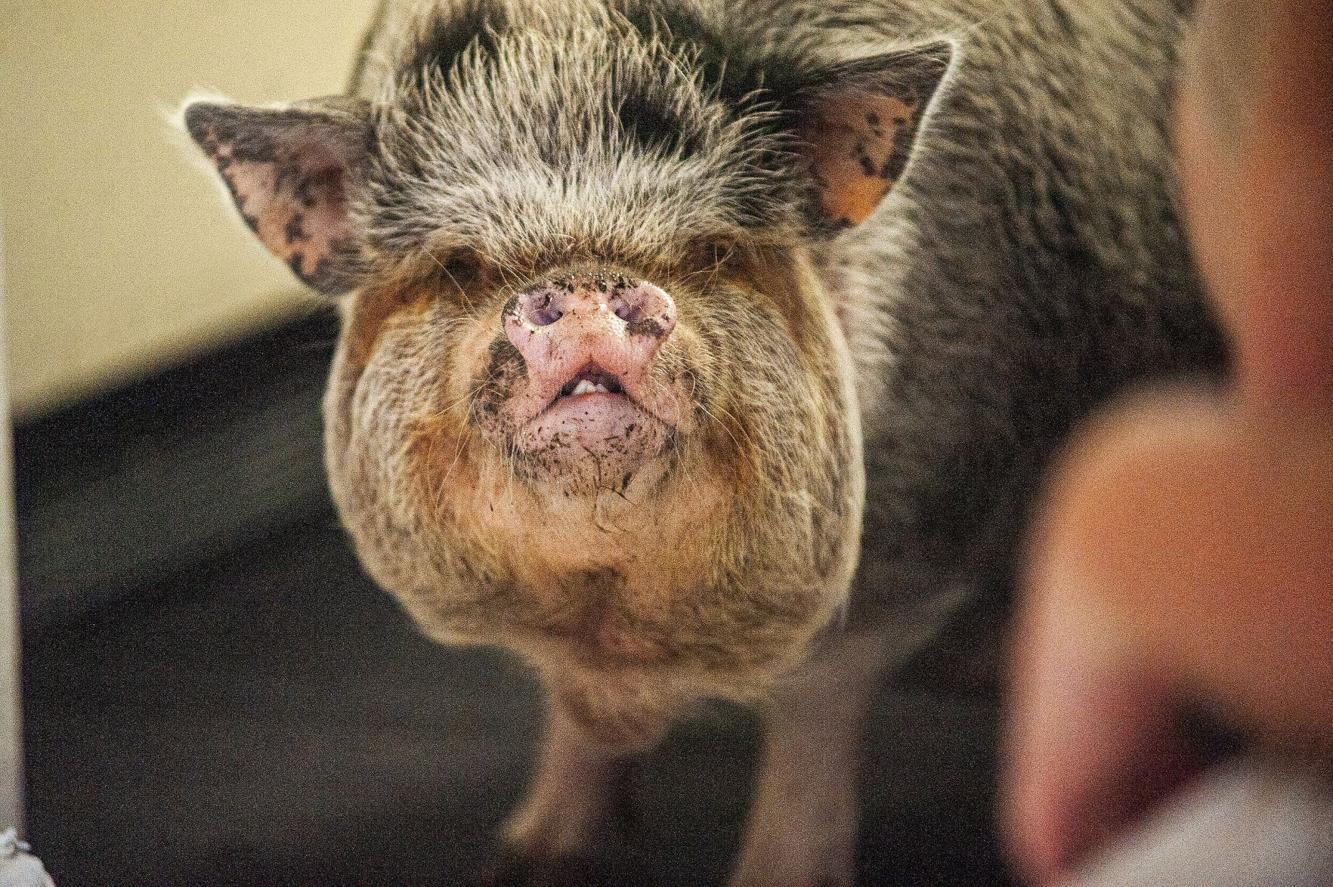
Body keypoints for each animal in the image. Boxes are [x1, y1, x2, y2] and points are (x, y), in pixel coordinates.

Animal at [182, 1, 1225, 883]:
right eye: (459, 266)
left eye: (710, 250)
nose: (588, 283)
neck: (623, 615)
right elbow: (571, 717)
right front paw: (530, 859)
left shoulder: (921, 509)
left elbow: (814, 708)